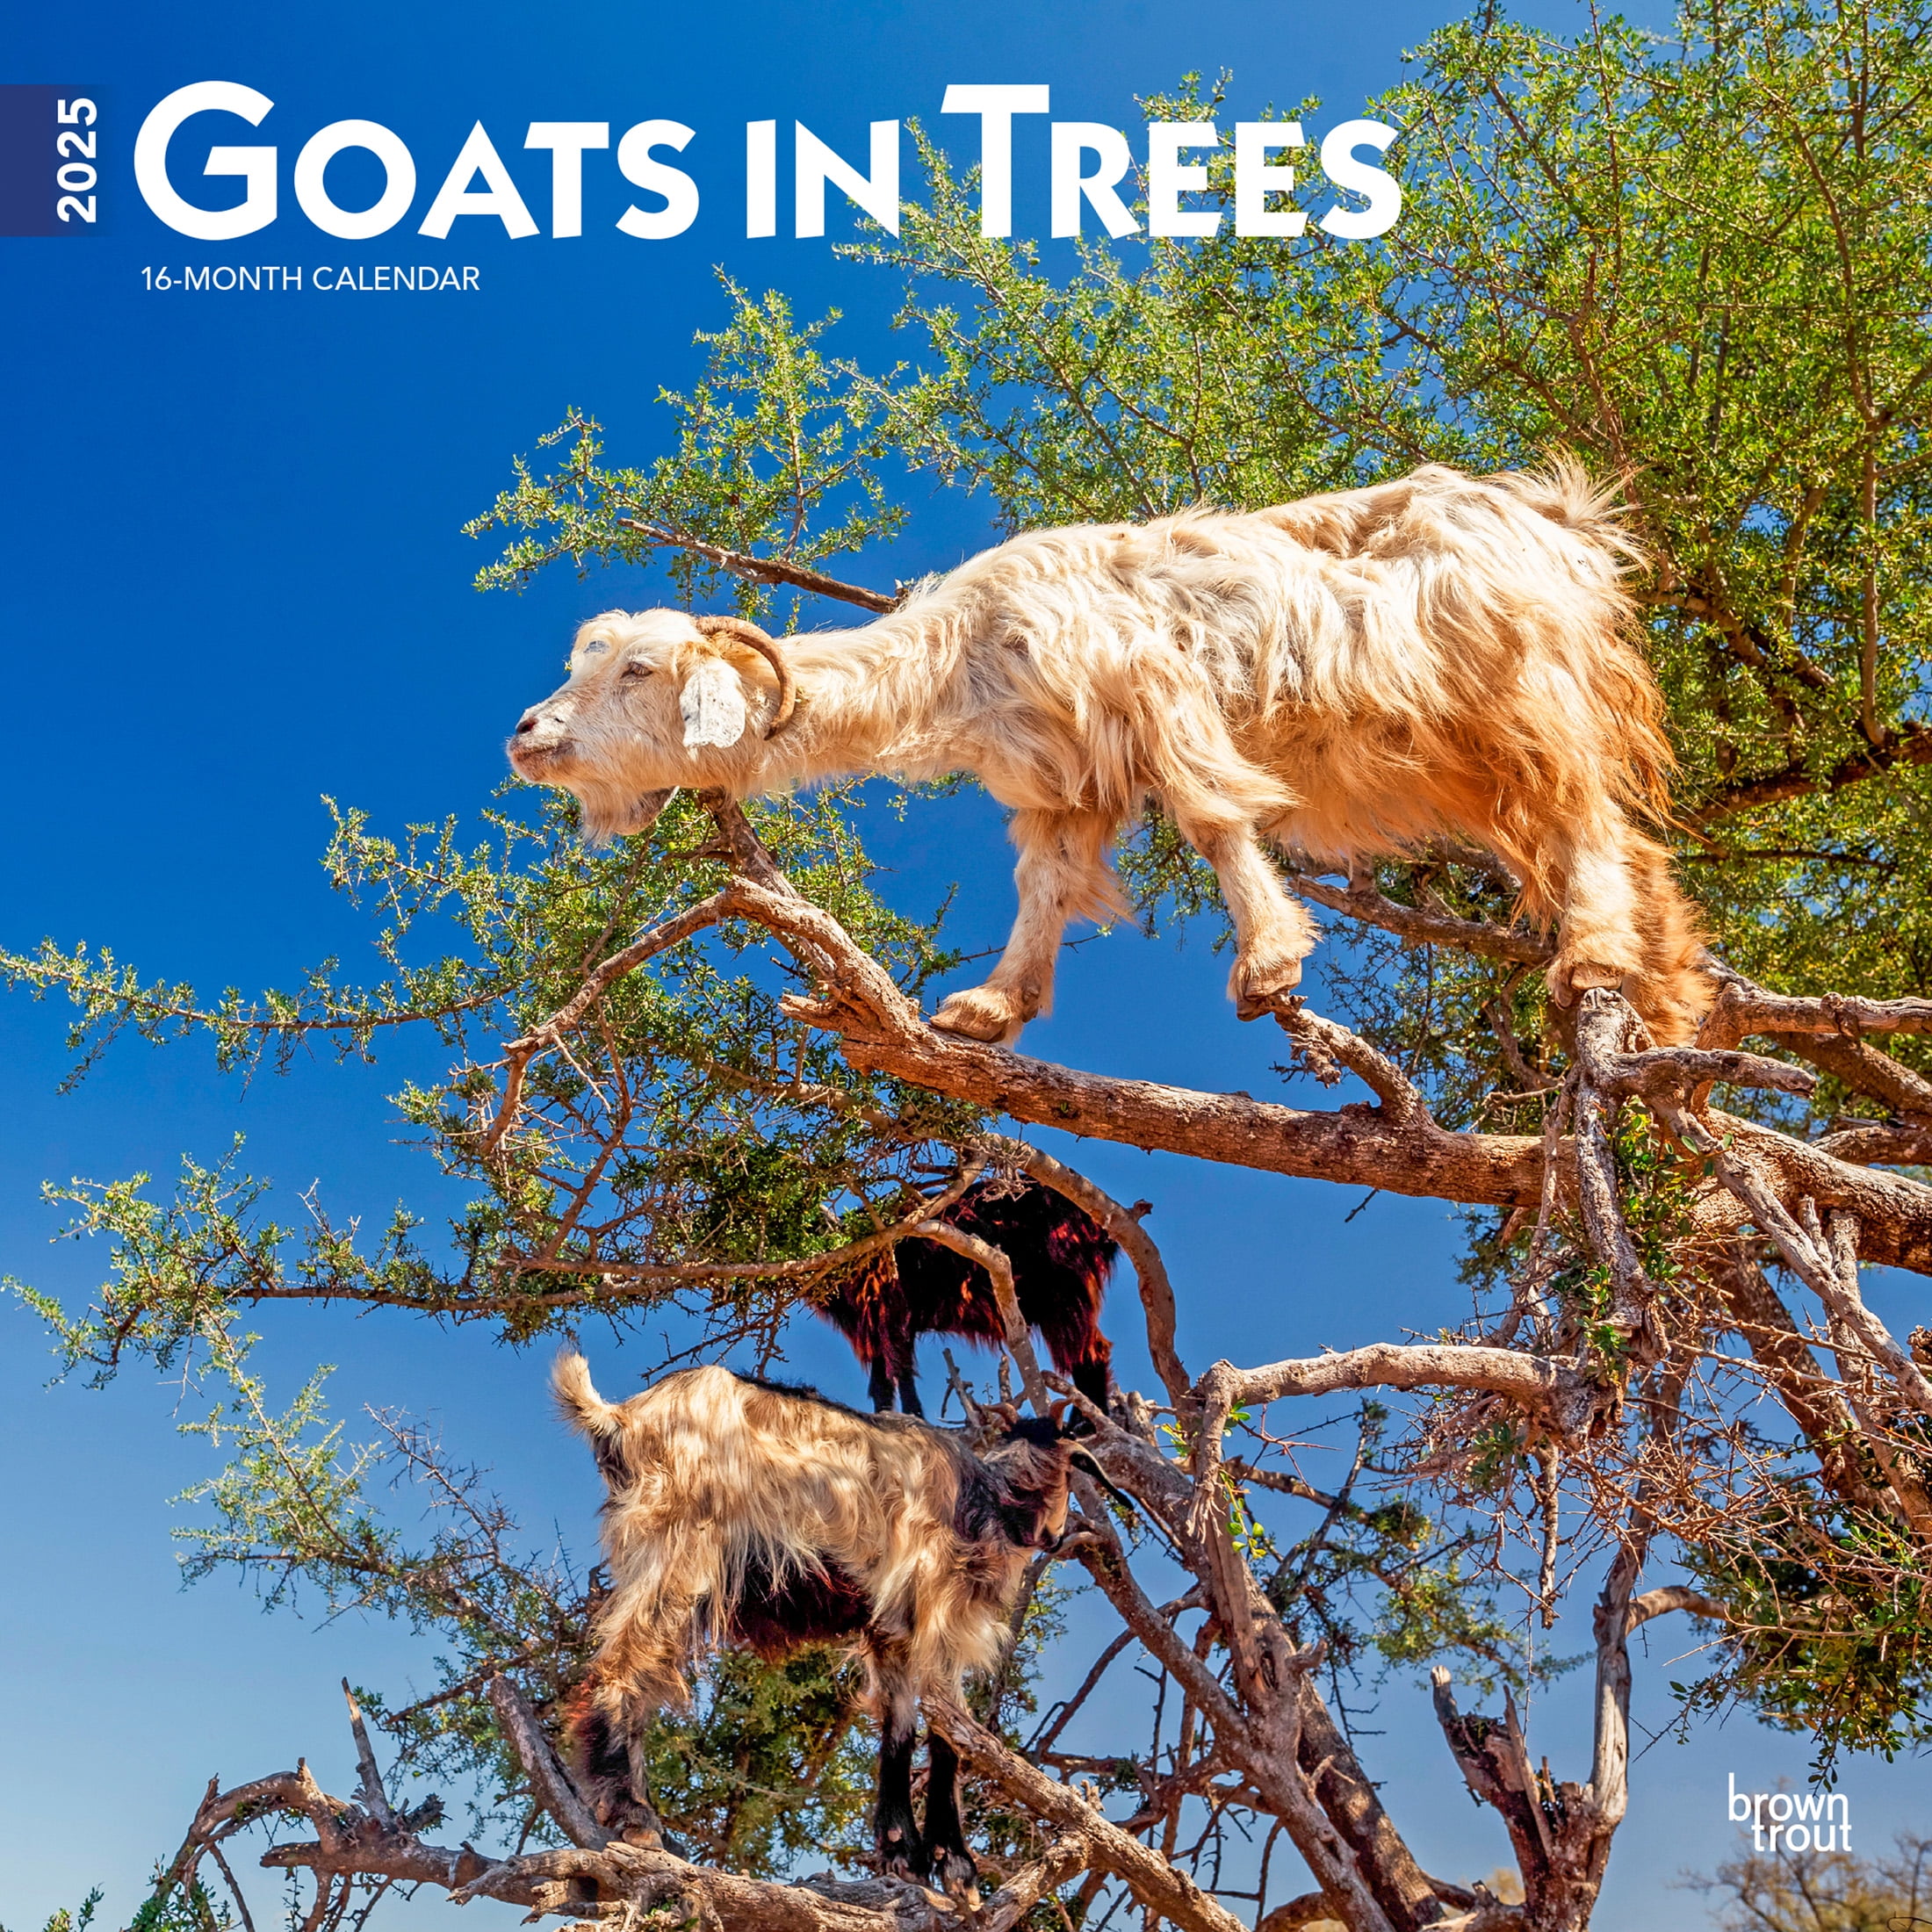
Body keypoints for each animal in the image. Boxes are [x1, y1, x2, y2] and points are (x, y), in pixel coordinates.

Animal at [508, 462, 1709, 1047]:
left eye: (638, 669)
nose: (527, 734)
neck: (964, 647)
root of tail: (1559, 518)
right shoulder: (1059, 777)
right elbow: (1044, 885)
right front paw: (991, 1008)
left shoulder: (1153, 691)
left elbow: (1215, 818)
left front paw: (1268, 961)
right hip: (1468, 749)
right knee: (1618, 842)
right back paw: (1665, 1000)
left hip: (1522, 690)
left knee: (1583, 817)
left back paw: (1596, 958)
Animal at [554, 1354, 1075, 1898]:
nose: (1057, 1535)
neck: (981, 1496)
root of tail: (621, 1419)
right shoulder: (937, 1611)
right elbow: (948, 1730)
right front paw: (954, 1863)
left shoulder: (890, 1626)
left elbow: (899, 1725)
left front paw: (900, 1849)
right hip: (679, 1548)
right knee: (620, 1665)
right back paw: (632, 1814)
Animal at [815, 1176, 1116, 1419]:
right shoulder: (875, 1330)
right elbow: (882, 1382)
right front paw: (887, 1415)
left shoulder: (891, 1318)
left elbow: (899, 1372)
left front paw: (914, 1415)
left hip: (1066, 1298)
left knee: (1090, 1353)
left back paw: (1087, 1422)